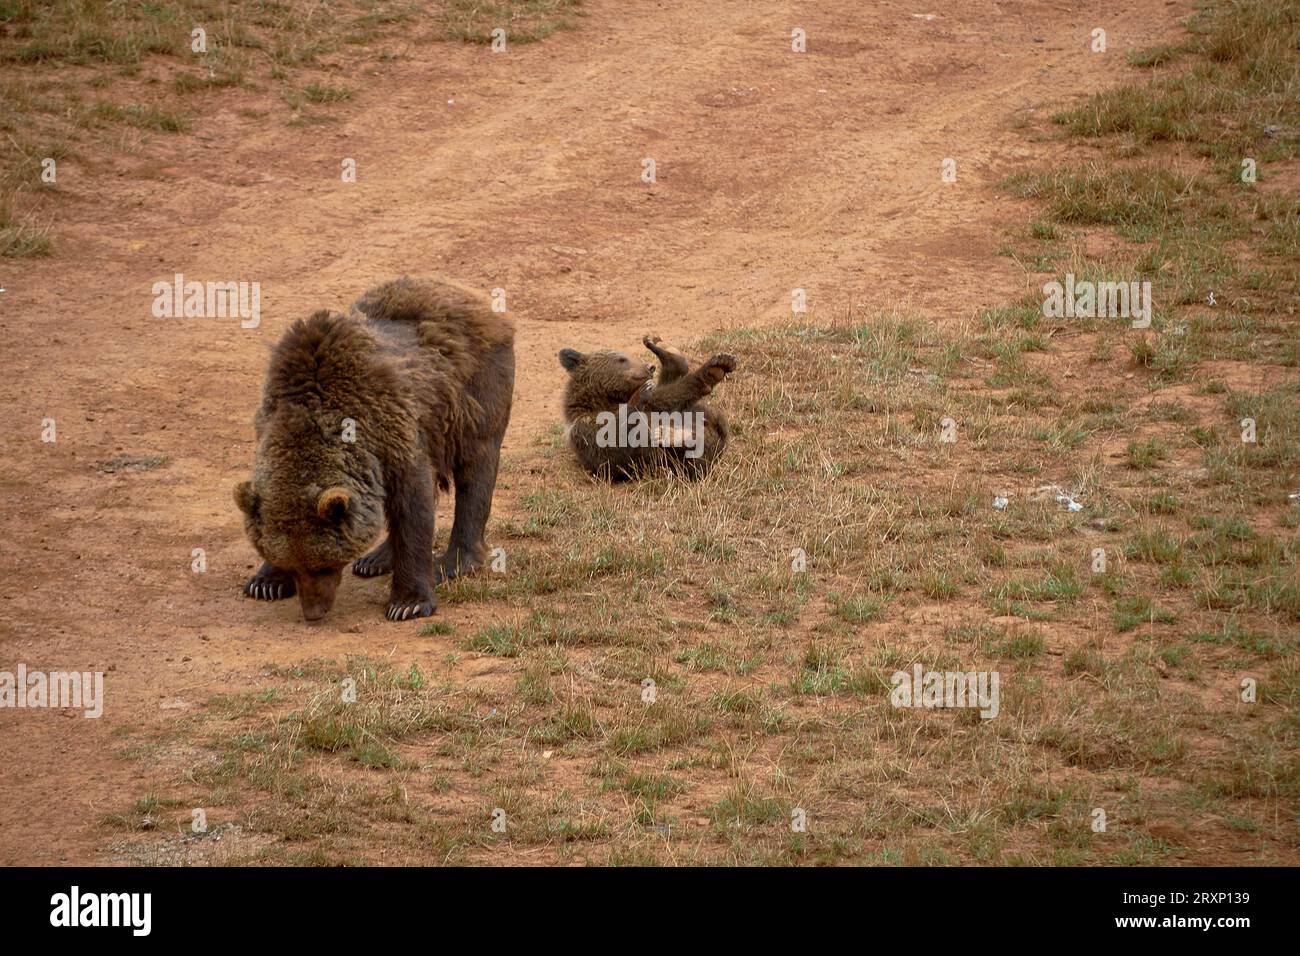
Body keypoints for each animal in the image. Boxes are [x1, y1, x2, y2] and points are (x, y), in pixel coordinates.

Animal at [234, 275, 515, 622]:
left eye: (323, 565)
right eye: (296, 565)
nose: (314, 612)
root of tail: (467, 294)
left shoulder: (392, 432)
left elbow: (412, 506)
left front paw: (408, 601)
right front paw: (266, 581)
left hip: (474, 396)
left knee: (475, 473)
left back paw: (454, 561)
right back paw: (375, 559)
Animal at [558, 335, 736, 480]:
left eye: (629, 356)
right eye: (621, 359)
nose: (649, 367)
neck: (605, 399)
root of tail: (719, 432)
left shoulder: (654, 403)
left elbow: (669, 396)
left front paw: (714, 368)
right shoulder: (584, 429)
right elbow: (608, 451)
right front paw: (639, 395)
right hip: (676, 460)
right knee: (694, 458)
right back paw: (672, 435)